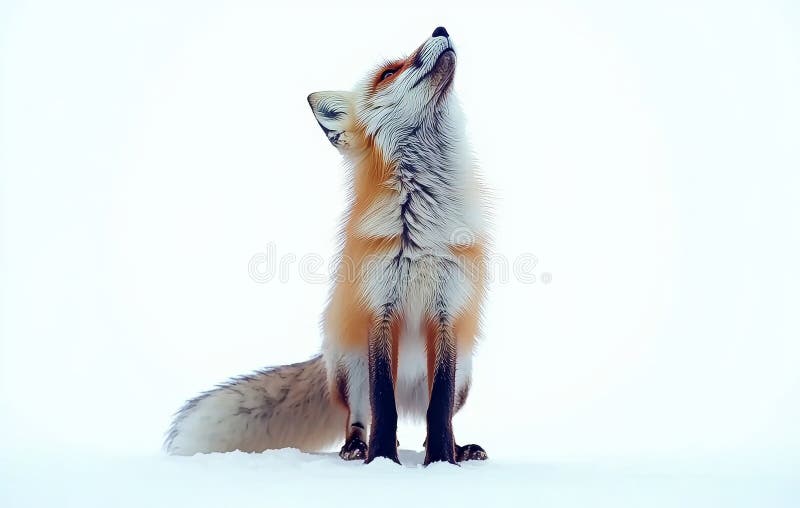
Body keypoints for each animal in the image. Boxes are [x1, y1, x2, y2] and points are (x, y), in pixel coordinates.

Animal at [165, 26, 489, 465]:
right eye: (388, 73)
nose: (441, 29)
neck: (420, 221)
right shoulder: (379, 310)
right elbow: (383, 406)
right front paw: (382, 461)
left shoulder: (448, 313)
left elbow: (438, 412)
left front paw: (441, 462)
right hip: (350, 368)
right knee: (360, 414)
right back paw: (356, 448)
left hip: (465, 375)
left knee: (433, 417)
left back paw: (457, 448)